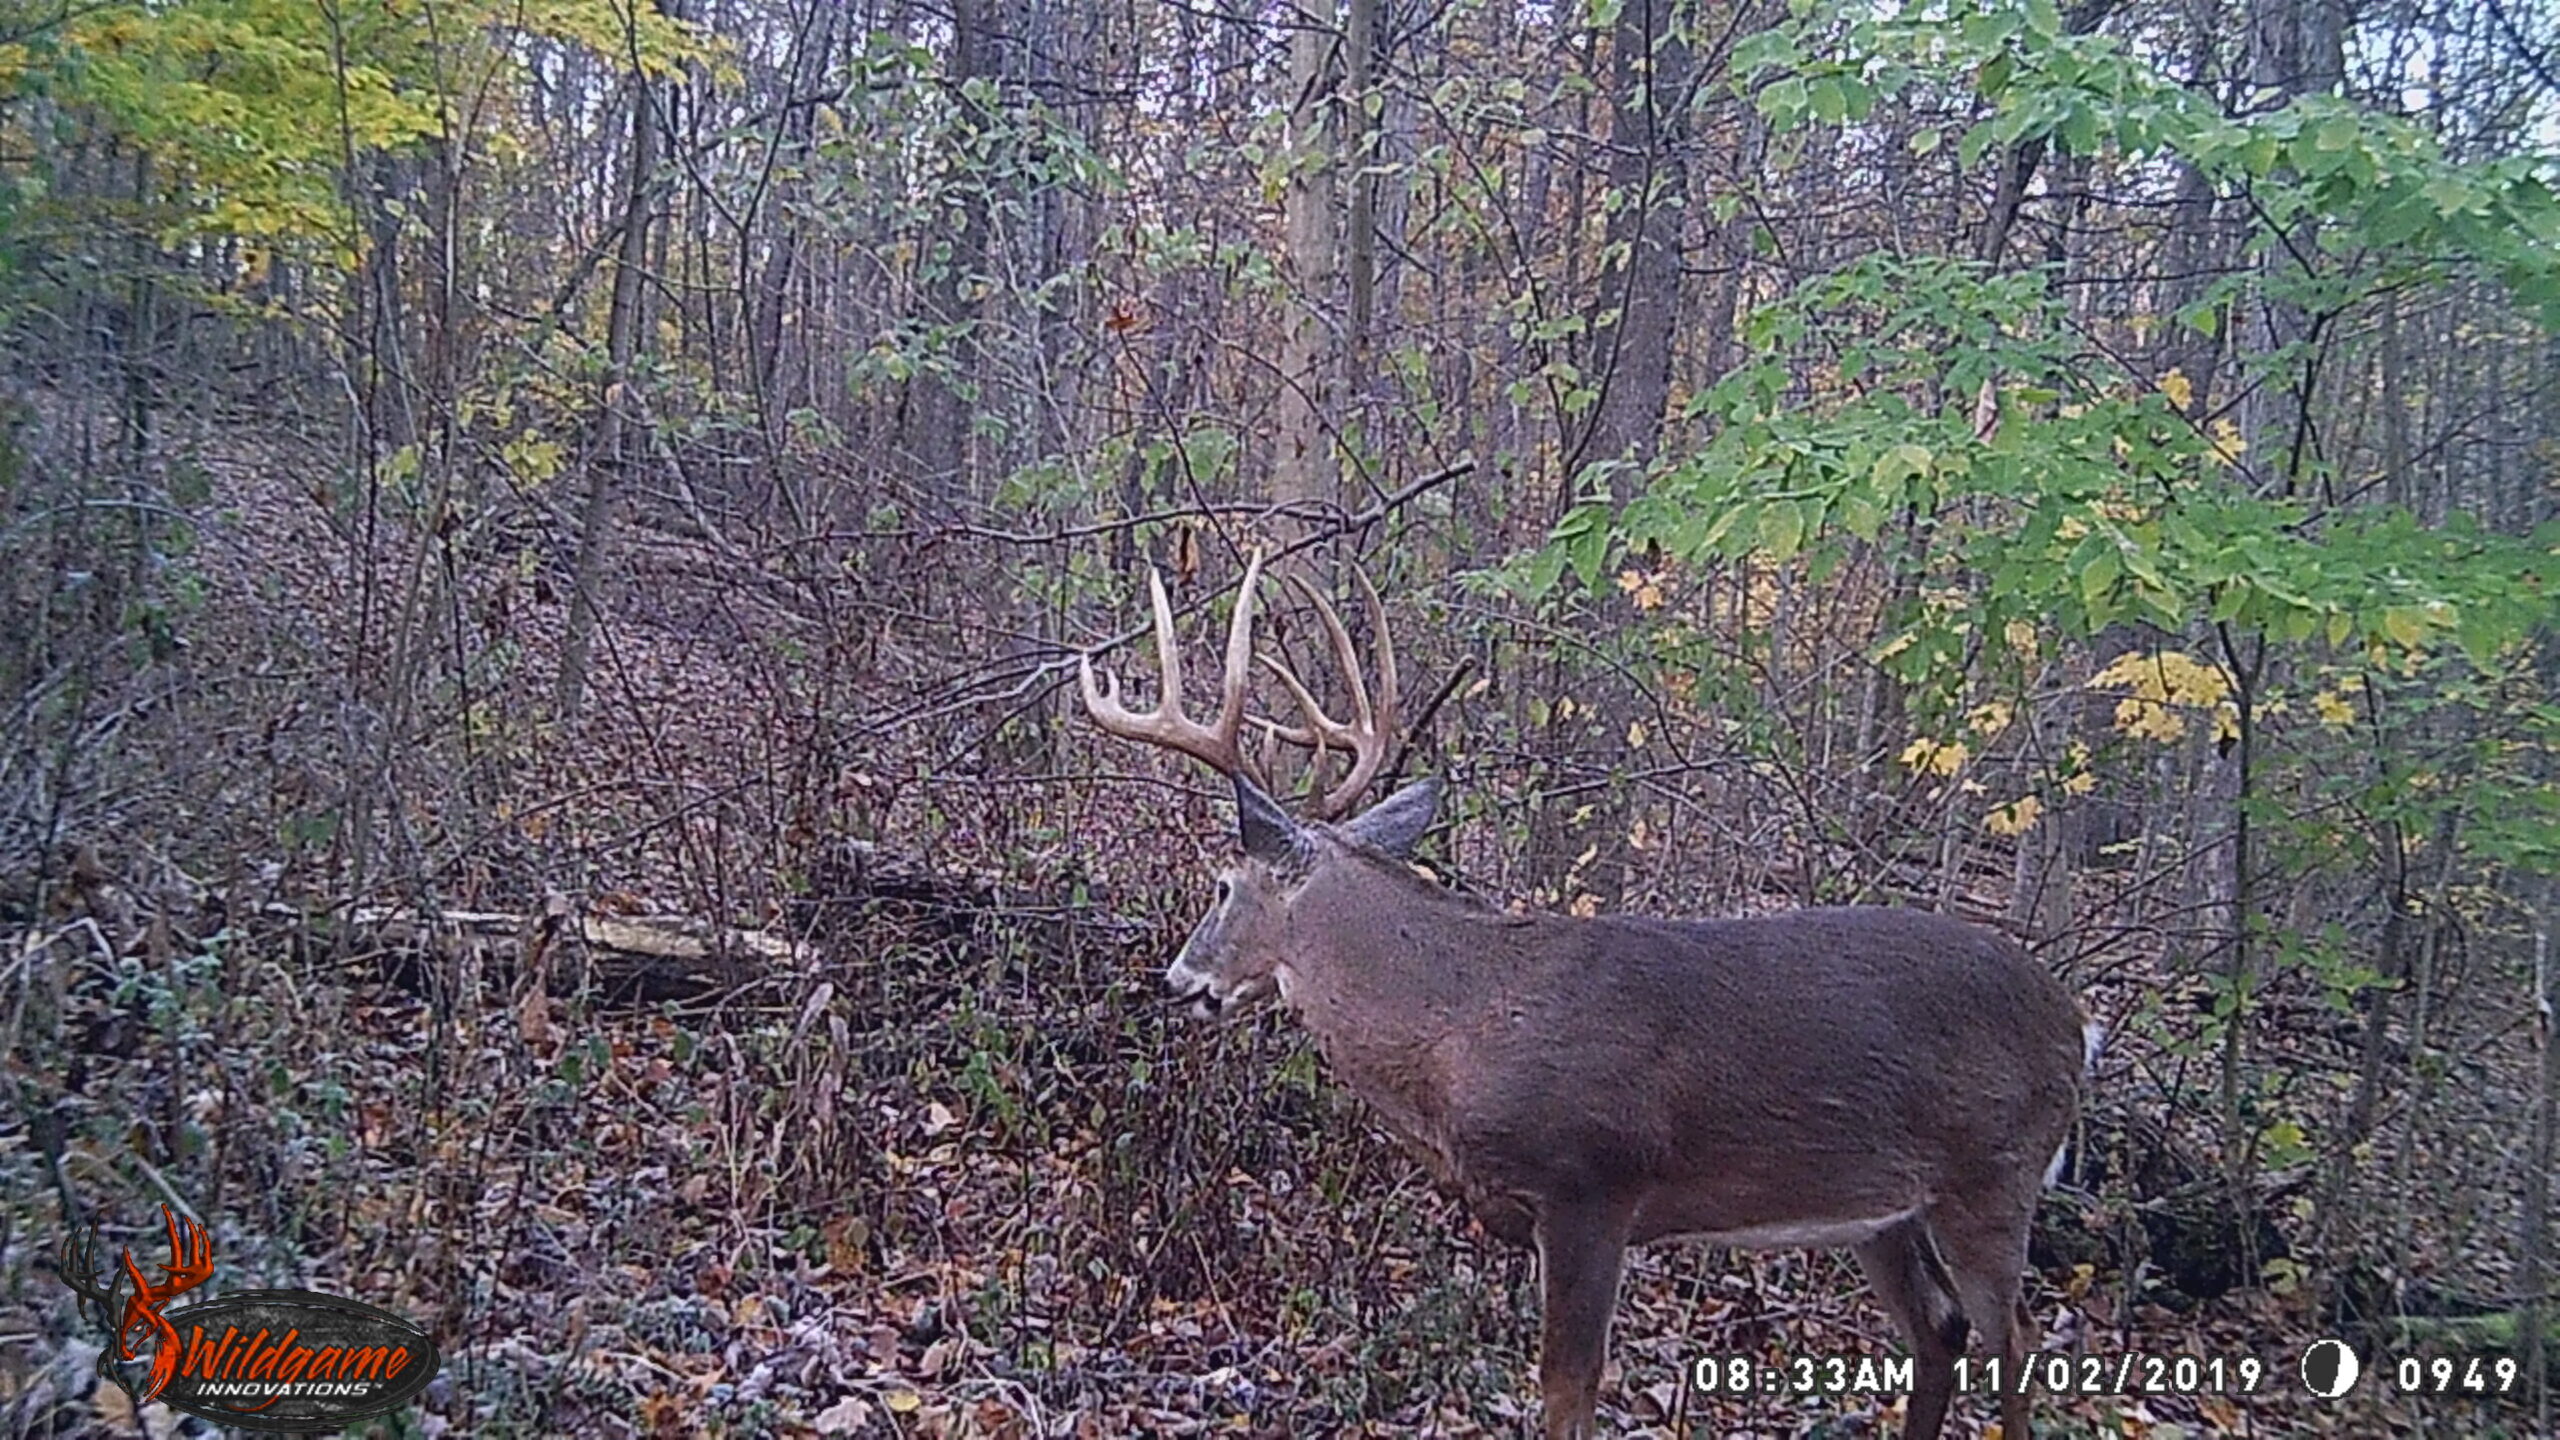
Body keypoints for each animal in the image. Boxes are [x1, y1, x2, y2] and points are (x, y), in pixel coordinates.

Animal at [1079, 553, 2096, 1440]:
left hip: (1994, 1175)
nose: (1180, 980)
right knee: (1938, 1331)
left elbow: (1568, 1388)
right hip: (1884, 1207)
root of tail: (2078, 1026)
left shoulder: (1591, 1184)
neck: (1463, 1027)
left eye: (1221, 886)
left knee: (2015, 1341)